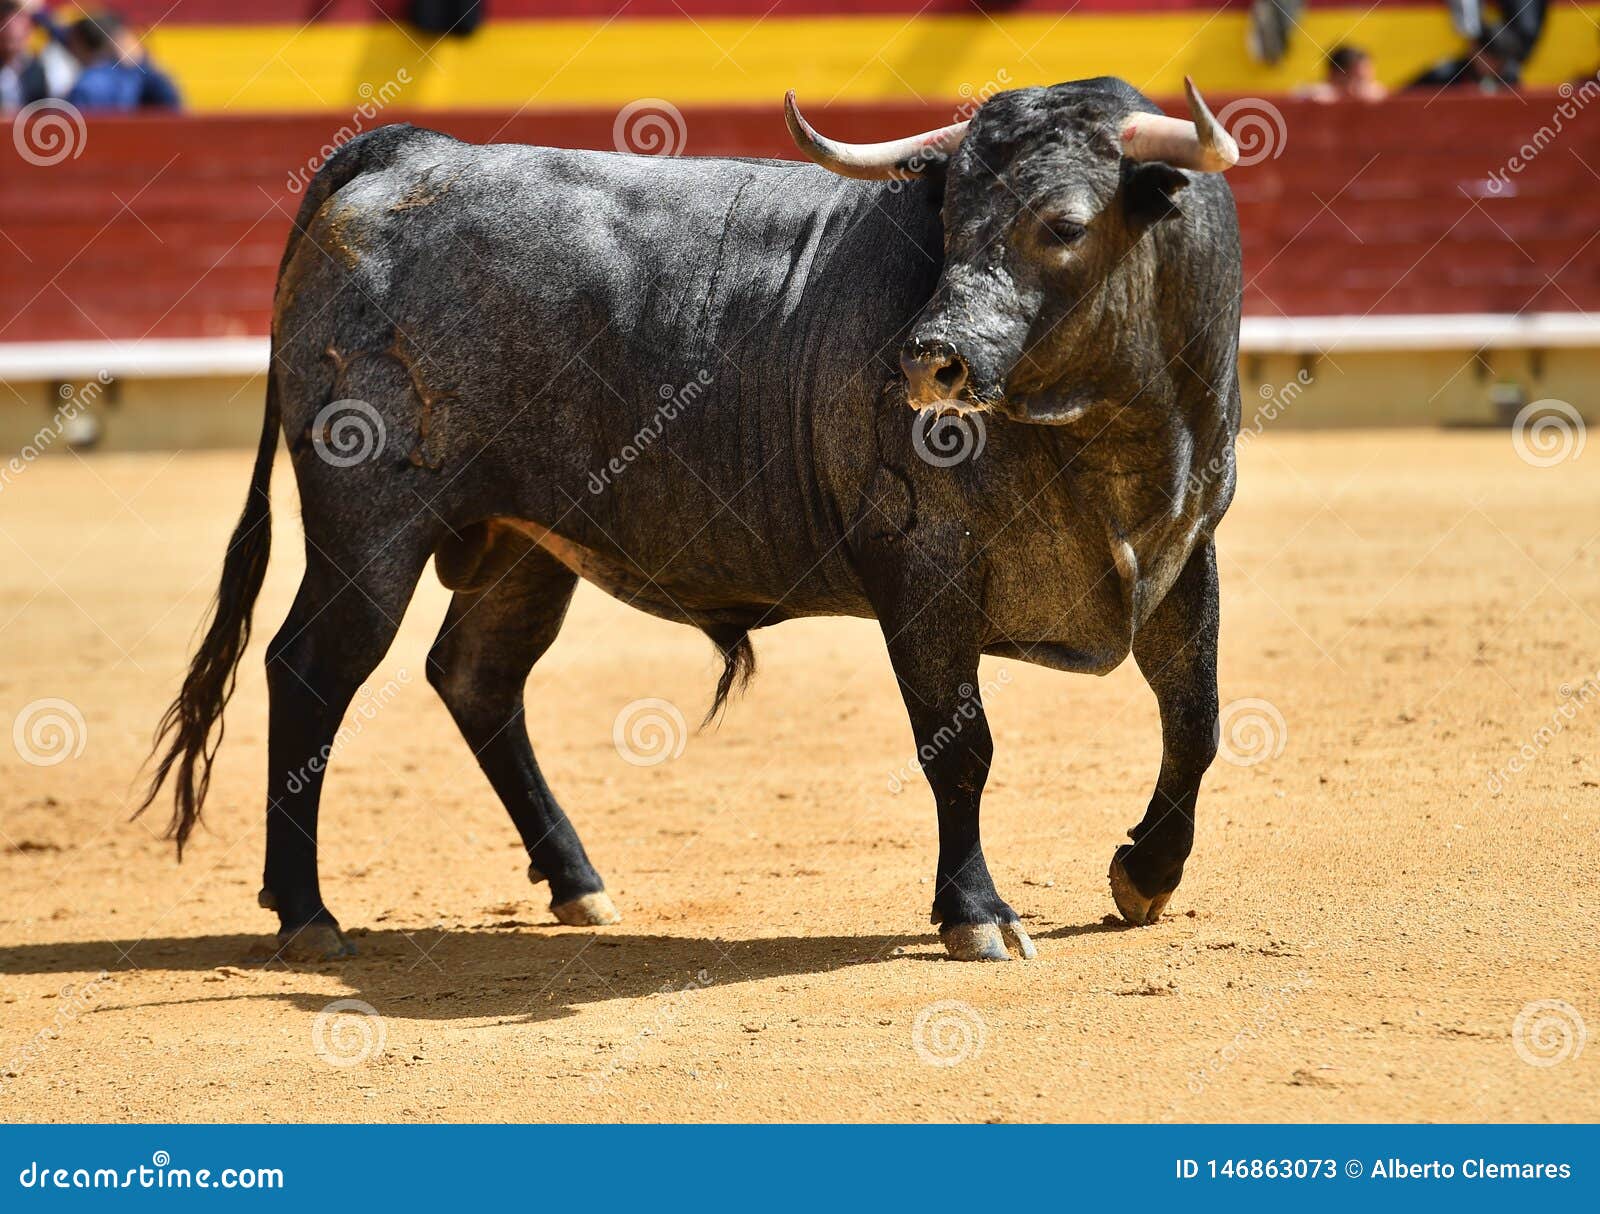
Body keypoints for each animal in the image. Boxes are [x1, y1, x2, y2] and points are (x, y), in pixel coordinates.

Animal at [139, 75, 1243, 962]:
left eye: (1064, 225)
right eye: (951, 218)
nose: (932, 358)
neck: (1104, 427)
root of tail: (415, 151)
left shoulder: (1187, 554)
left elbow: (1195, 720)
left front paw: (1146, 875)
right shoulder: (922, 576)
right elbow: (960, 748)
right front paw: (977, 913)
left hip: (522, 543)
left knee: (477, 676)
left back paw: (578, 883)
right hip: (369, 533)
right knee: (310, 672)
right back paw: (307, 912)